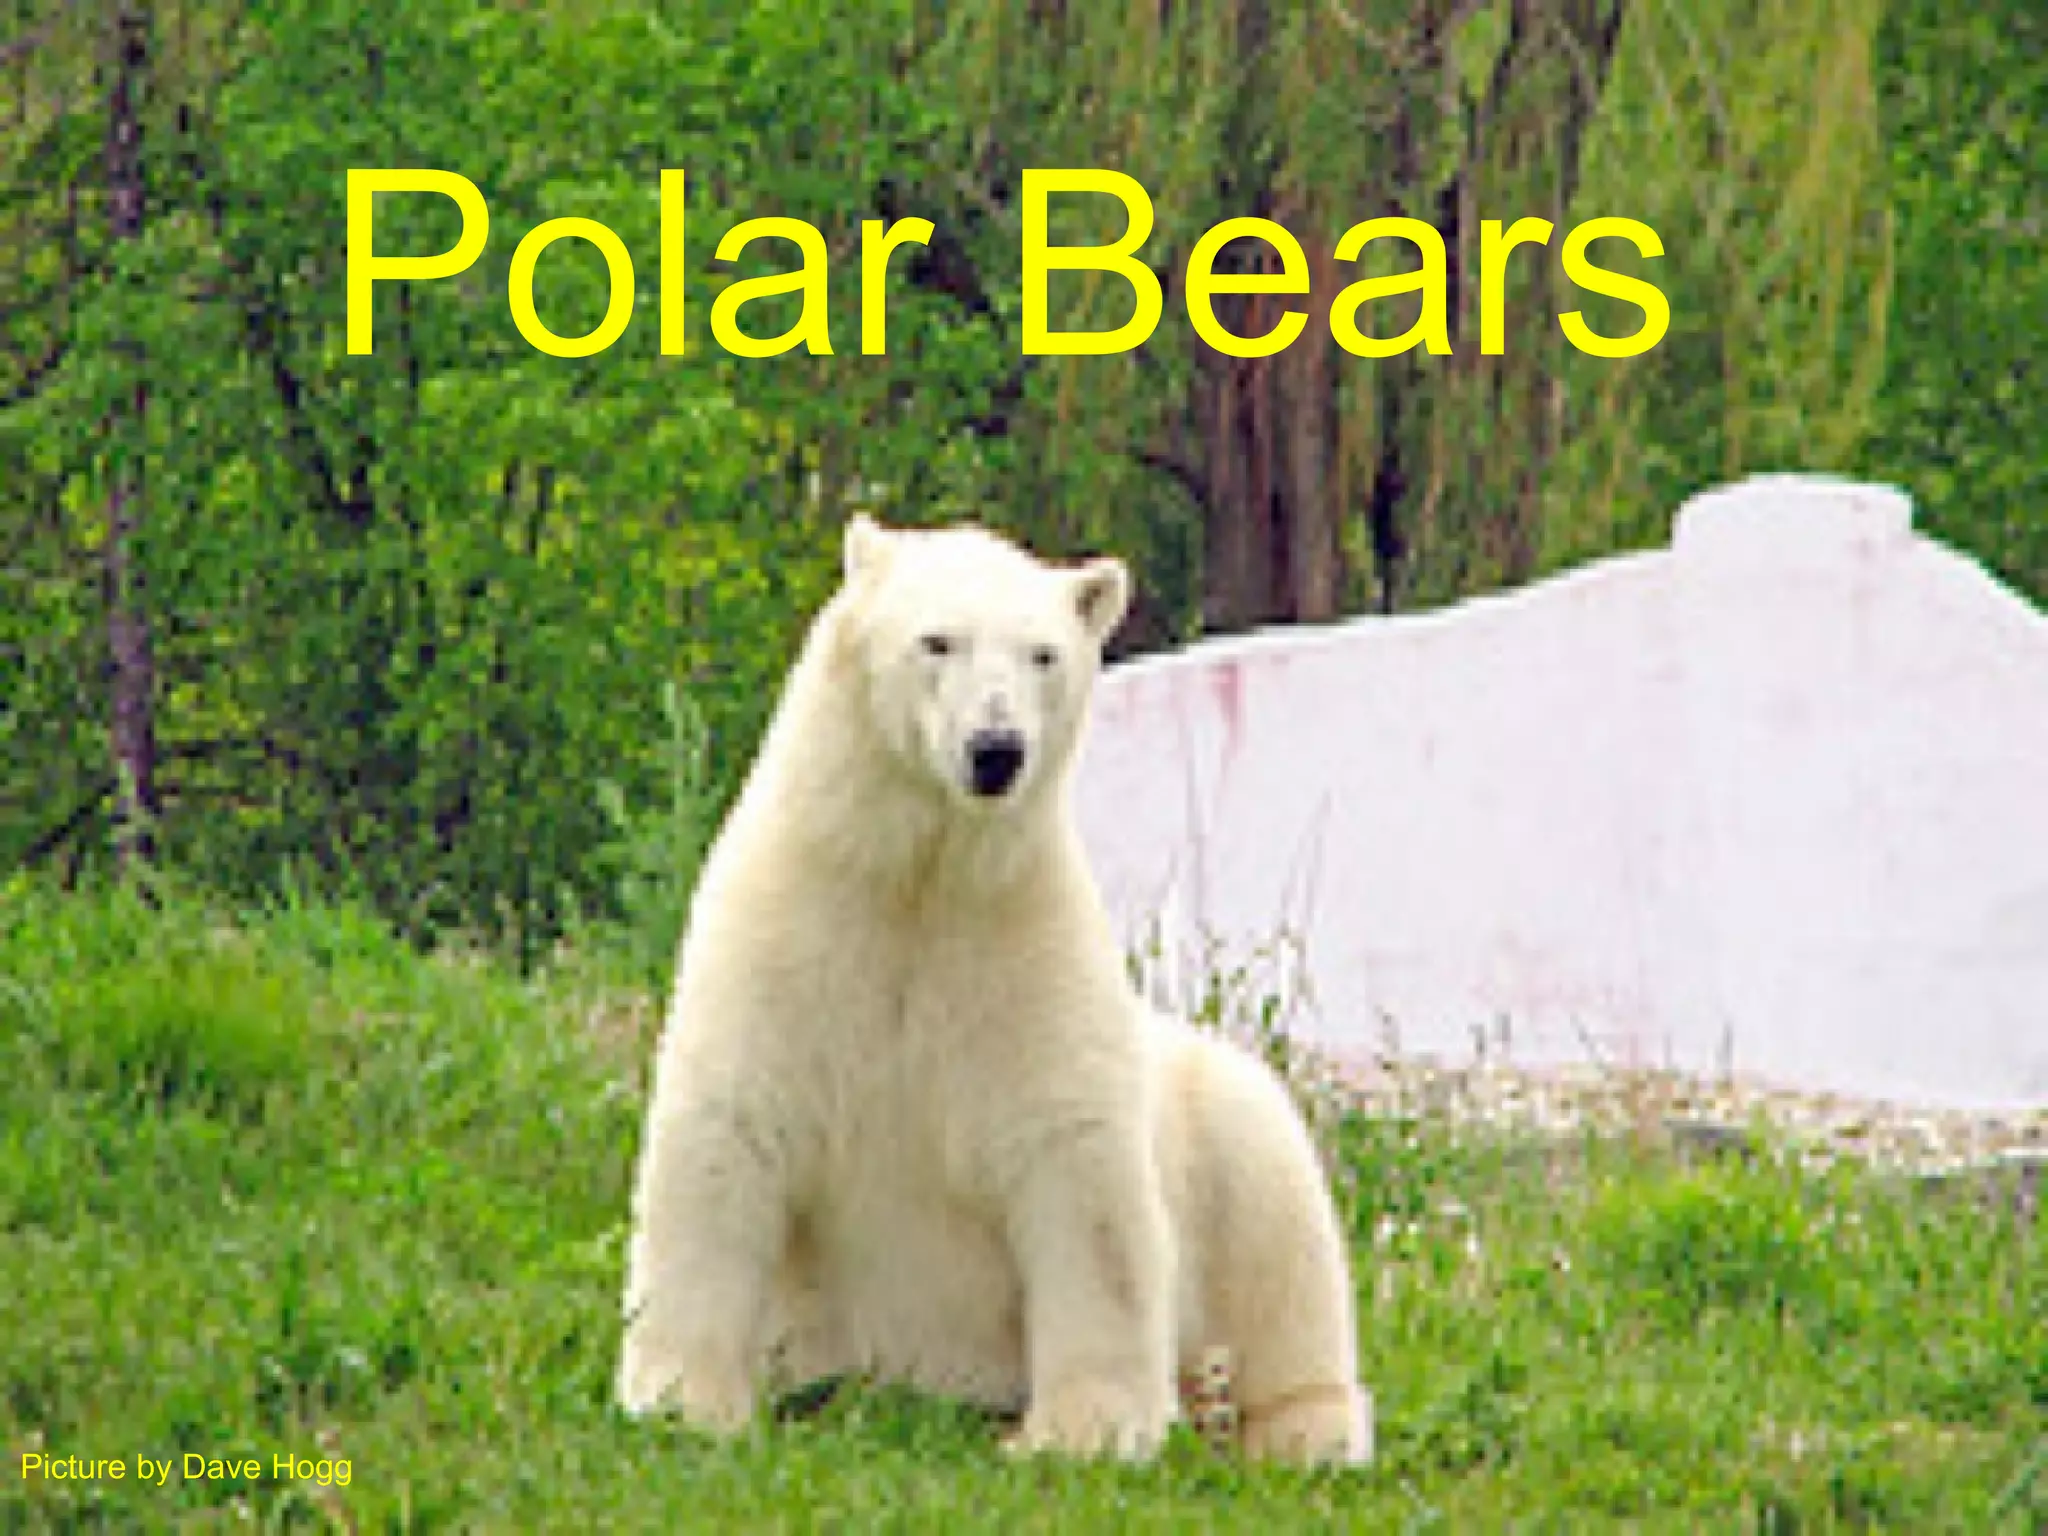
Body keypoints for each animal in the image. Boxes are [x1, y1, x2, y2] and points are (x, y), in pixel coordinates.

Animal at [617, 513, 1371, 1465]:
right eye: (937, 641)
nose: (995, 752)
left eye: (1043, 654)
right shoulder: (787, 933)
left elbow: (1079, 1175)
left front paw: (1084, 1431)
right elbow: (729, 1130)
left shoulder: (1024, 953)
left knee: (1276, 1215)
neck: (923, 878)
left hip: (1218, 1116)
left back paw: (1282, 1423)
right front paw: (684, 1400)